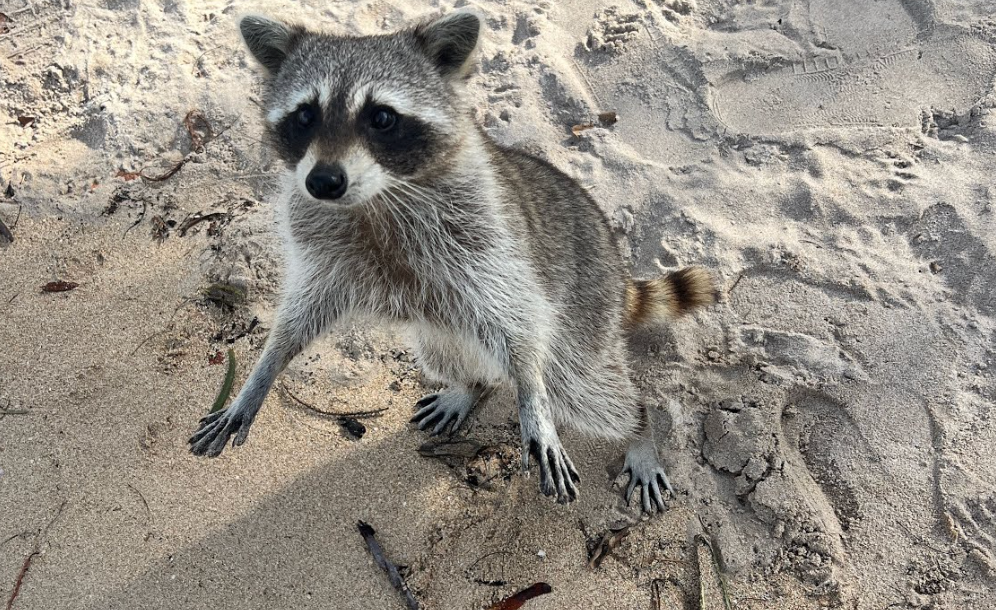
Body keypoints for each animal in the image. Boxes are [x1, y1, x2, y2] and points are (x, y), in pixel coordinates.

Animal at [189, 11, 716, 513]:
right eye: (304, 116)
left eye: (382, 117)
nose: (323, 181)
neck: (376, 197)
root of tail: (615, 262)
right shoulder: (320, 245)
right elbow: (301, 314)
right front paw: (259, 375)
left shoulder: (489, 235)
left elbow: (521, 318)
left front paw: (533, 400)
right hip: (442, 327)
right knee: (451, 353)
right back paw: (469, 384)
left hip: (586, 308)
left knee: (586, 389)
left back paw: (639, 431)